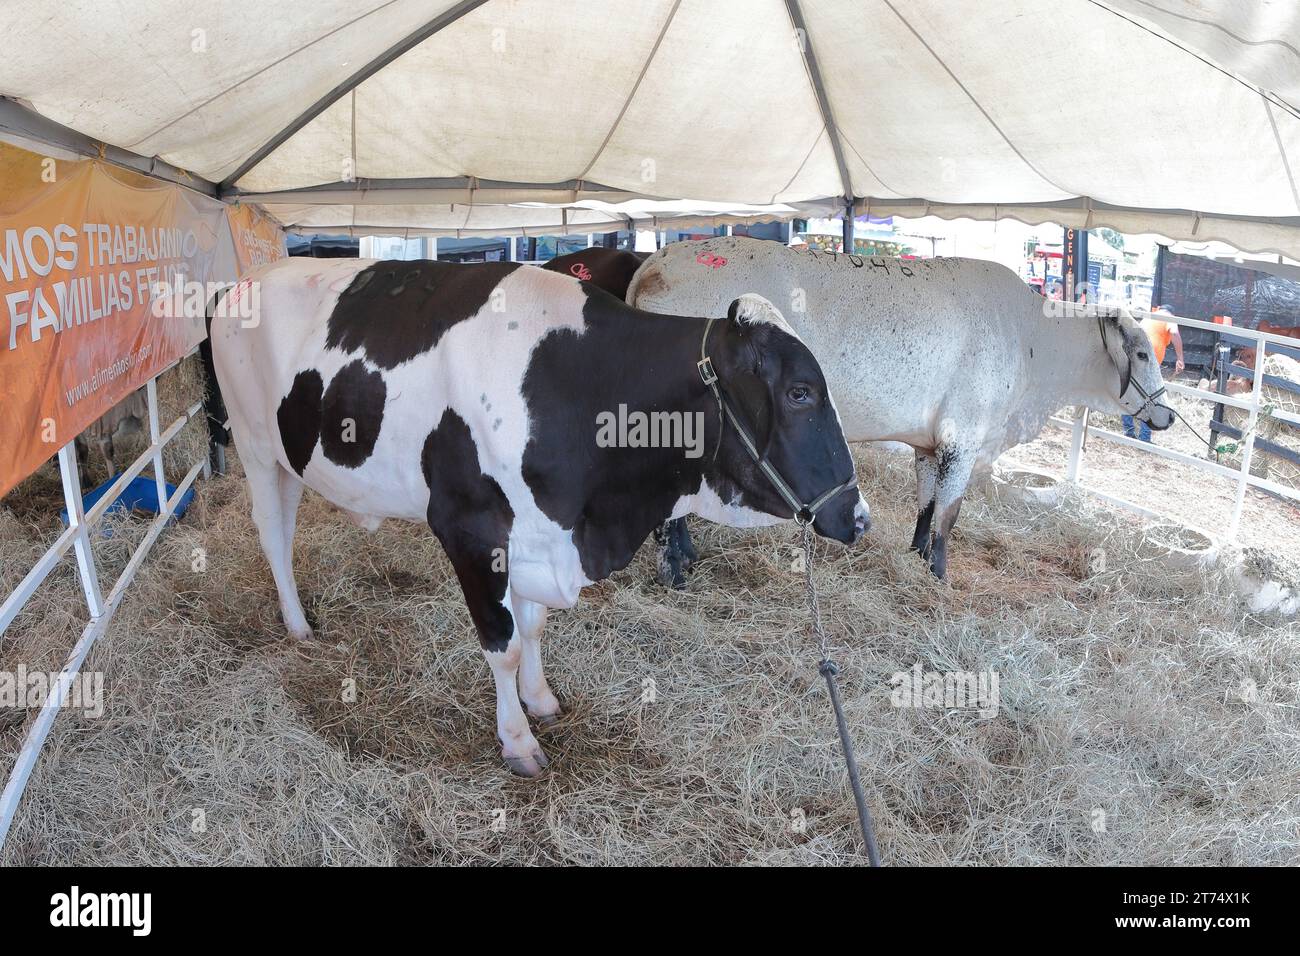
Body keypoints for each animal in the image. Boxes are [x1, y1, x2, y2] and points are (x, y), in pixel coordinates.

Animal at [210, 257, 868, 776]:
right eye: (801, 392)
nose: (858, 517)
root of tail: (246, 280)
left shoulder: (536, 533)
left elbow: (532, 628)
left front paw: (541, 699)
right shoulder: (471, 531)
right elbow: (501, 643)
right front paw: (518, 742)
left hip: (289, 457)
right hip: (254, 445)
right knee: (273, 535)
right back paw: (297, 625)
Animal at [628, 236, 1175, 582]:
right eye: (1142, 353)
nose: (1167, 416)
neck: (1031, 340)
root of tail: (654, 263)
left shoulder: (931, 442)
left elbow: (927, 504)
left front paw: (916, 553)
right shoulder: (964, 436)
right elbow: (949, 515)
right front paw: (940, 575)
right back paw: (676, 568)